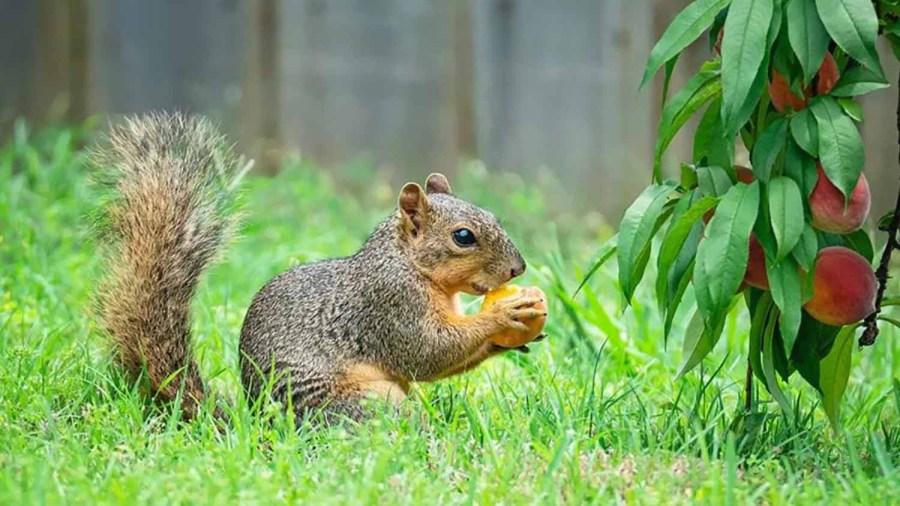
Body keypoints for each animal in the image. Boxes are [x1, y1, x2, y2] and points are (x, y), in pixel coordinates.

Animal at [93, 112, 546, 423]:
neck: (408, 264)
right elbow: (426, 352)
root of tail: (262, 426)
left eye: (493, 215)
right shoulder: (389, 305)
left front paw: (513, 339)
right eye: (463, 236)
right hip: (366, 403)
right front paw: (504, 314)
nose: (518, 269)